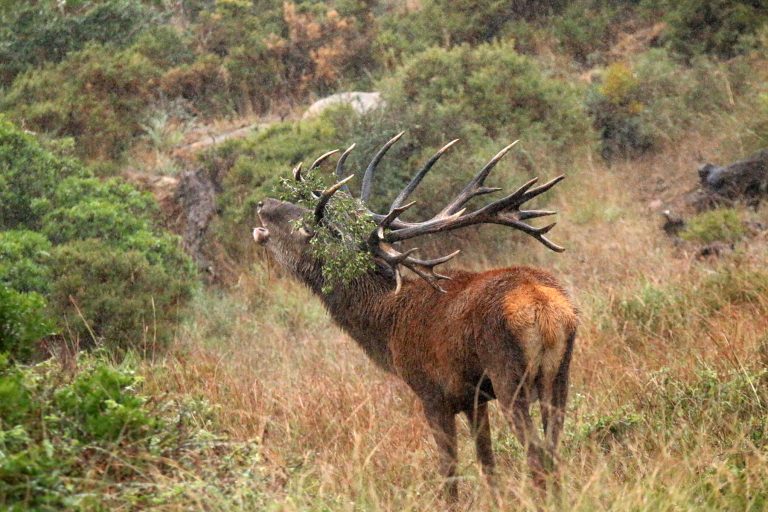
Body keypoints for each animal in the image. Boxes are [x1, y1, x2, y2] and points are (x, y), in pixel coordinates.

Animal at [252, 133, 578, 500]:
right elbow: (487, 462)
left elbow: (449, 472)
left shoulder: (432, 392)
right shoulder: (474, 397)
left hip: (508, 374)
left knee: (537, 454)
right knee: (553, 451)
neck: (386, 325)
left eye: (308, 228)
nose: (263, 204)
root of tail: (545, 308)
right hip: (560, 375)